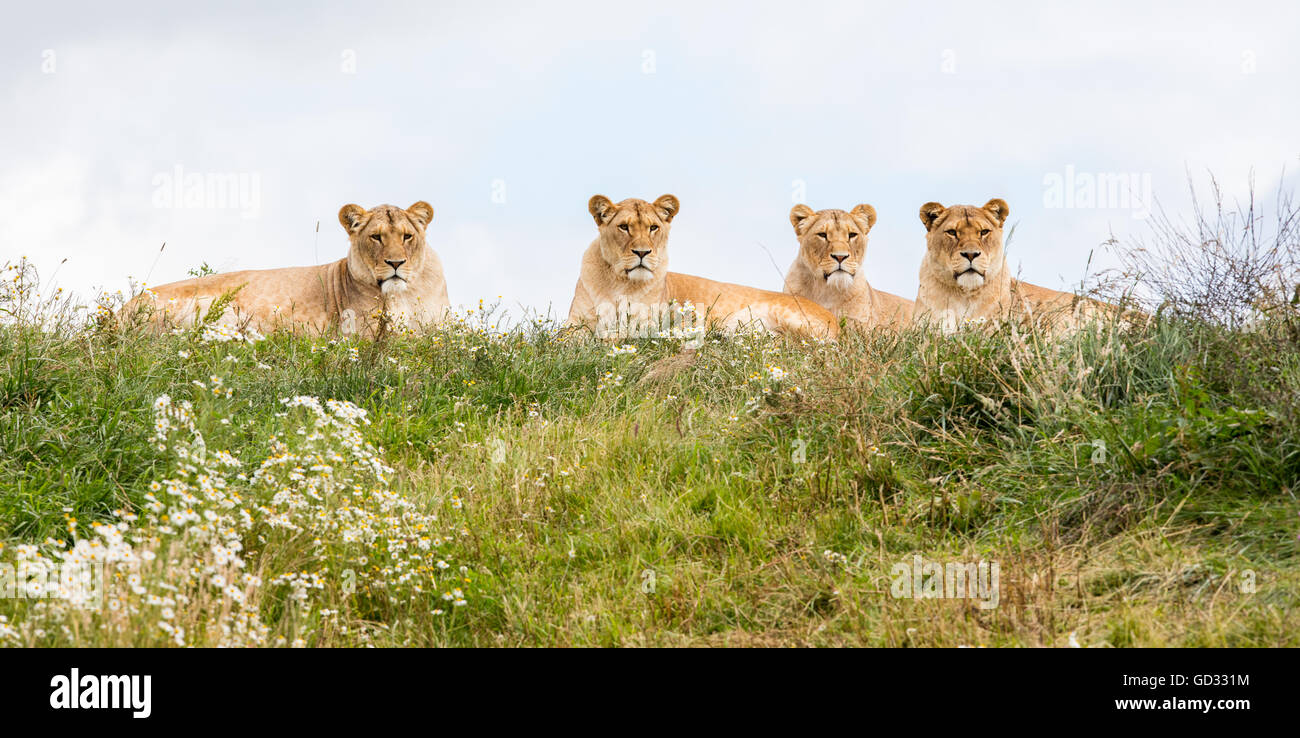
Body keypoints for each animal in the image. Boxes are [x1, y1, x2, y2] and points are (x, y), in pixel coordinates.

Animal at [566, 194, 839, 341]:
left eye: (653, 228)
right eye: (624, 227)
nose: (642, 253)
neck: (619, 283)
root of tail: (834, 319)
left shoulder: (650, 324)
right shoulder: (575, 325)